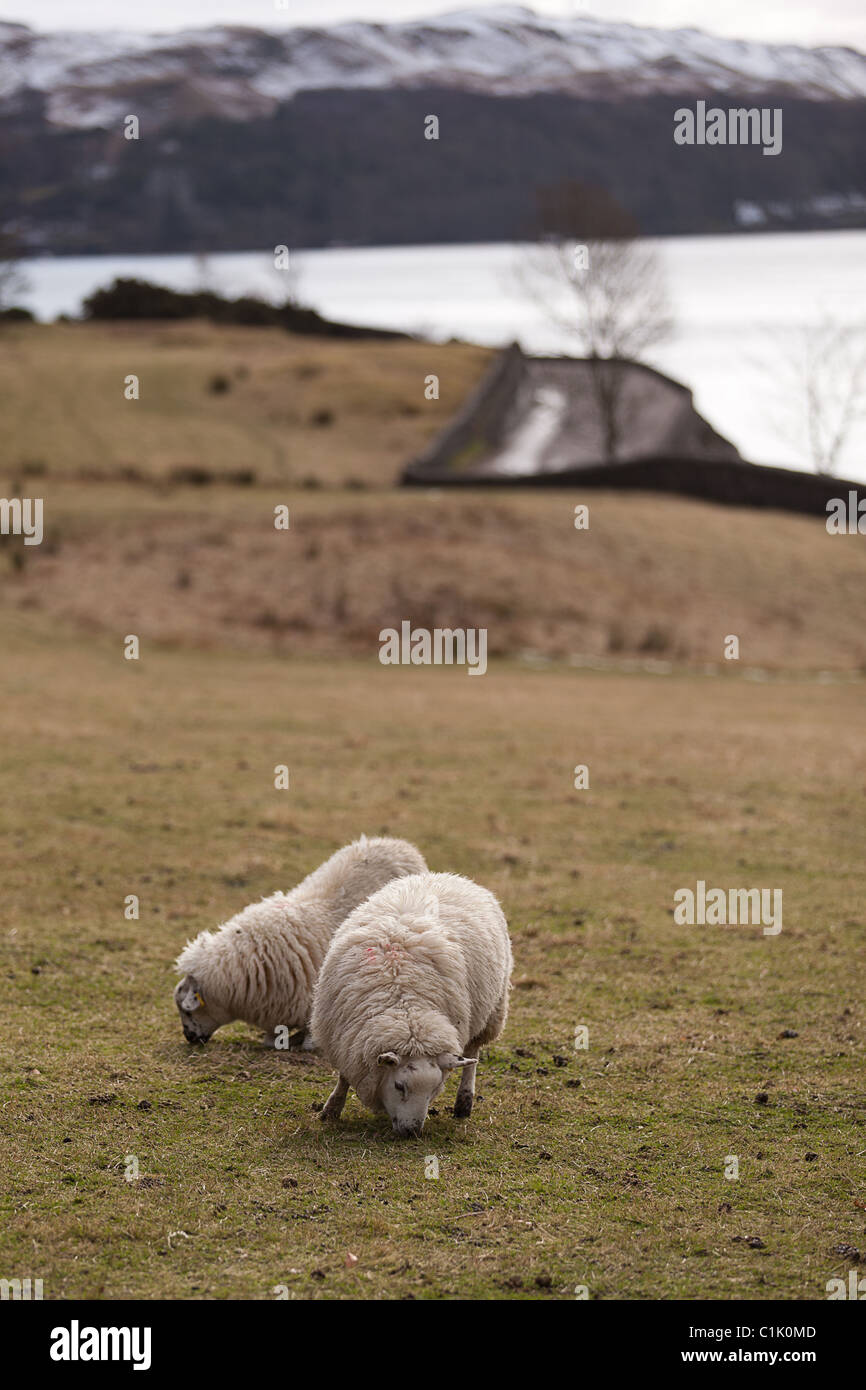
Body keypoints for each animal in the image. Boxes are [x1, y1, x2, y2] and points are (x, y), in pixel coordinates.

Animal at [310, 871, 512, 1136]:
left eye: (434, 1090)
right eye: (399, 1086)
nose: (412, 1131)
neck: (404, 1005)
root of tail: (451, 876)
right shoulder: (347, 1040)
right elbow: (344, 1076)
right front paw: (331, 1109)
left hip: (492, 1011)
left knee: (472, 1055)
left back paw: (464, 1102)